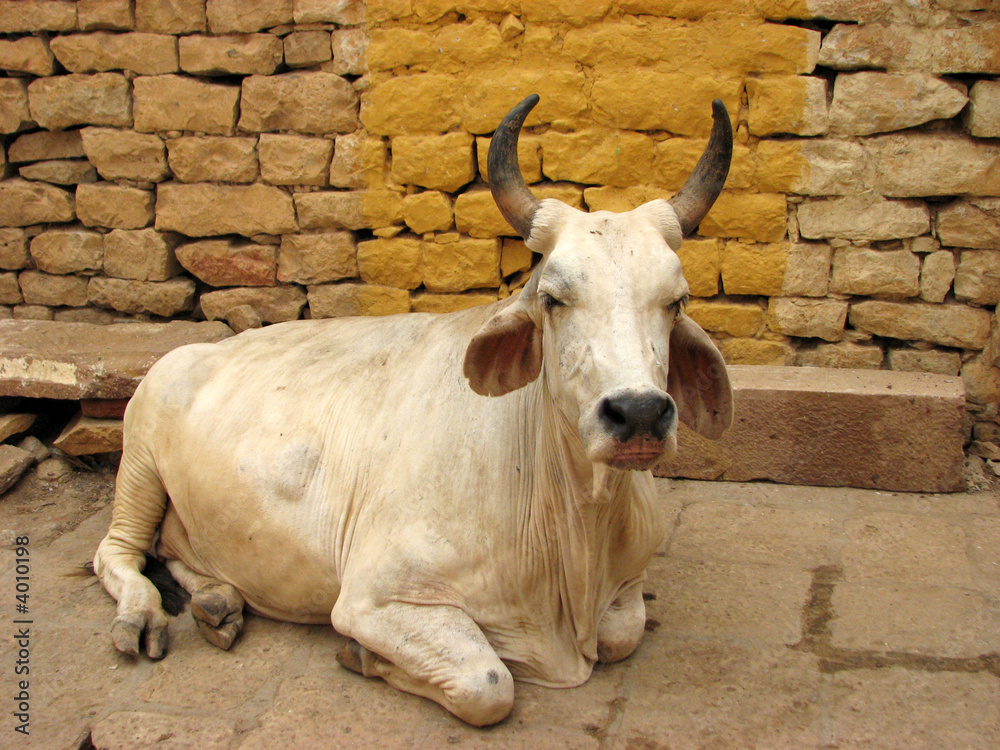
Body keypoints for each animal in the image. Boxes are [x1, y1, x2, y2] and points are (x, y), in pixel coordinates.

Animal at [94, 94, 734, 727]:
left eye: (676, 301)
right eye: (553, 299)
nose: (639, 414)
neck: (577, 524)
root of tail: (197, 349)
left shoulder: (626, 583)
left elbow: (623, 631)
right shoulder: (374, 597)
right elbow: (488, 684)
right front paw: (358, 654)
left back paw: (217, 601)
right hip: (139, 460)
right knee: (118, 552)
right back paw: (143, 615)